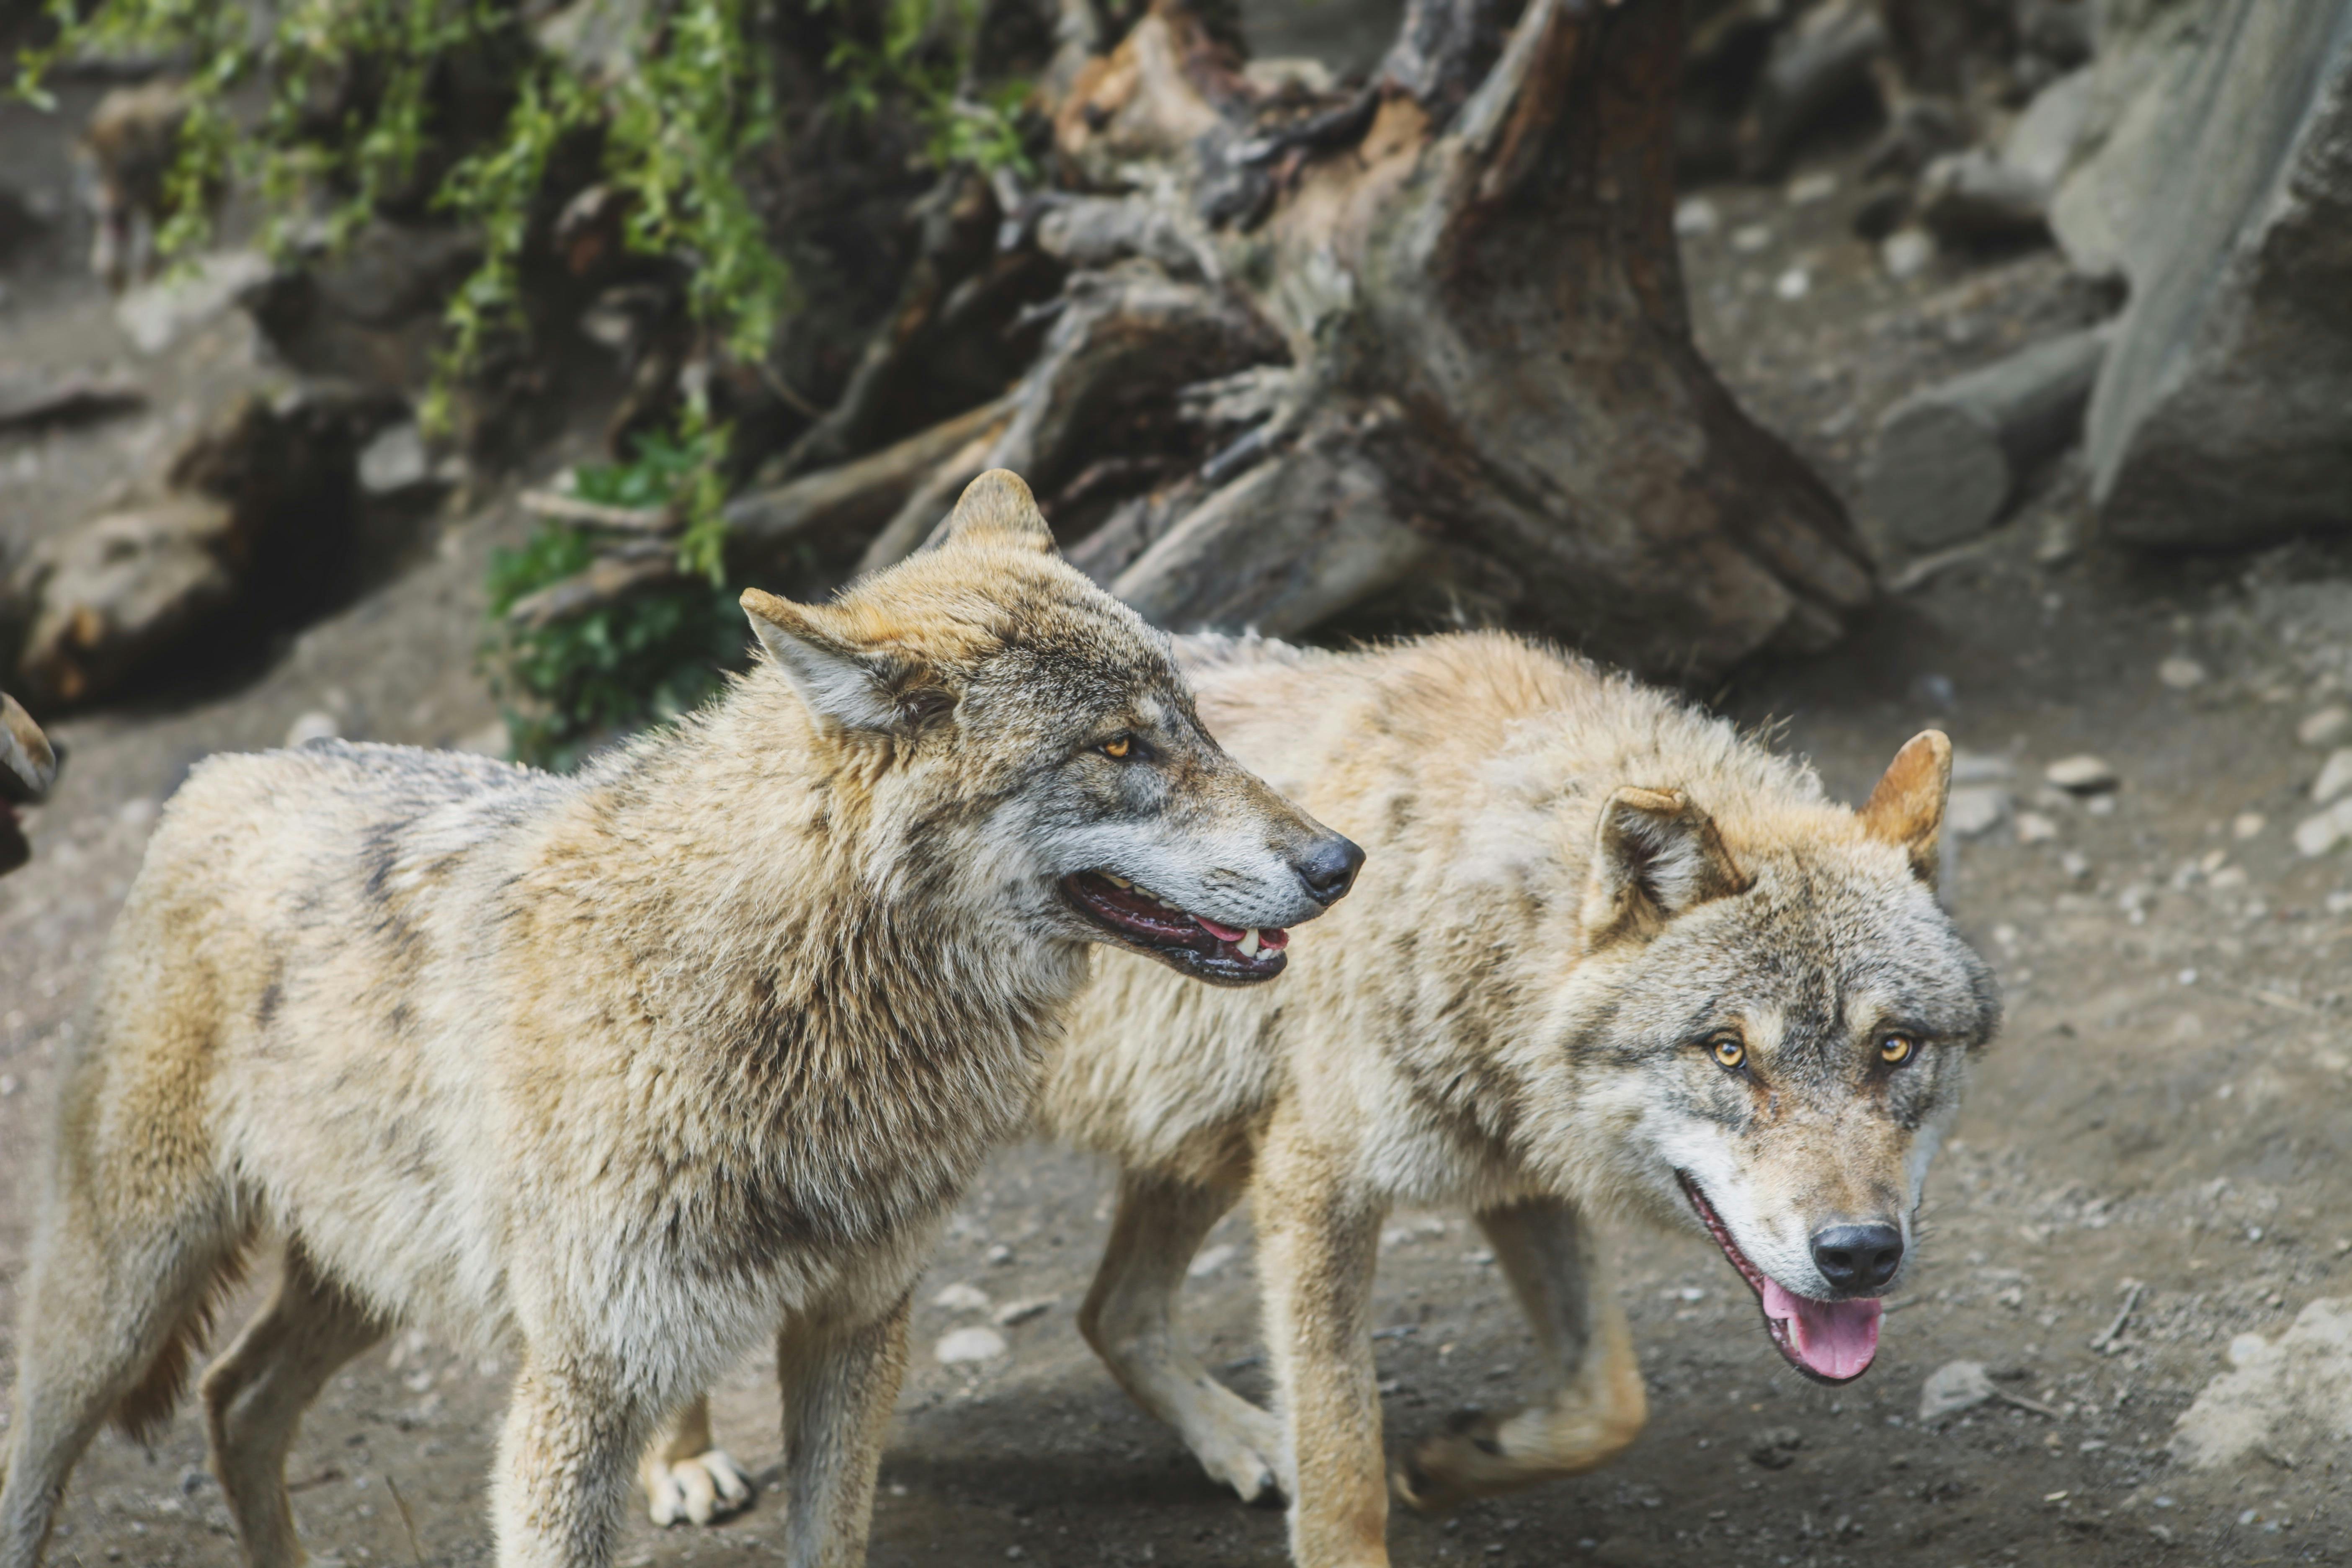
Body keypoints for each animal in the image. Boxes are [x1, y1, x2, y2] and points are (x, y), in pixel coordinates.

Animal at [0, 470, 1363, 1568]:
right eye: (1119, 747)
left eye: (1198, 723)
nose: (1341, 860)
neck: (787, 998)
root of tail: (219, 771)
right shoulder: (581, 1389)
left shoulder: (856, 1326)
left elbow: (832, 1537)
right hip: (122, 1294)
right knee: (56, 1444)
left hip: (368, 1273)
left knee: (237, 1399)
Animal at [655, 629, 1999, 1567]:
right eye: (1729, 1053)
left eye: (1895, 1049)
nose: (1861, 1253)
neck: (1464, 890)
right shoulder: (1317, 1190)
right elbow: (1346, 1464)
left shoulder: (1503, 1173)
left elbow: (1608, 1398)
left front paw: (1462, 1458)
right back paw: (680, 1463)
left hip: (1201, 1142)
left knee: (1112, 1311)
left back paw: (1241, 1442)